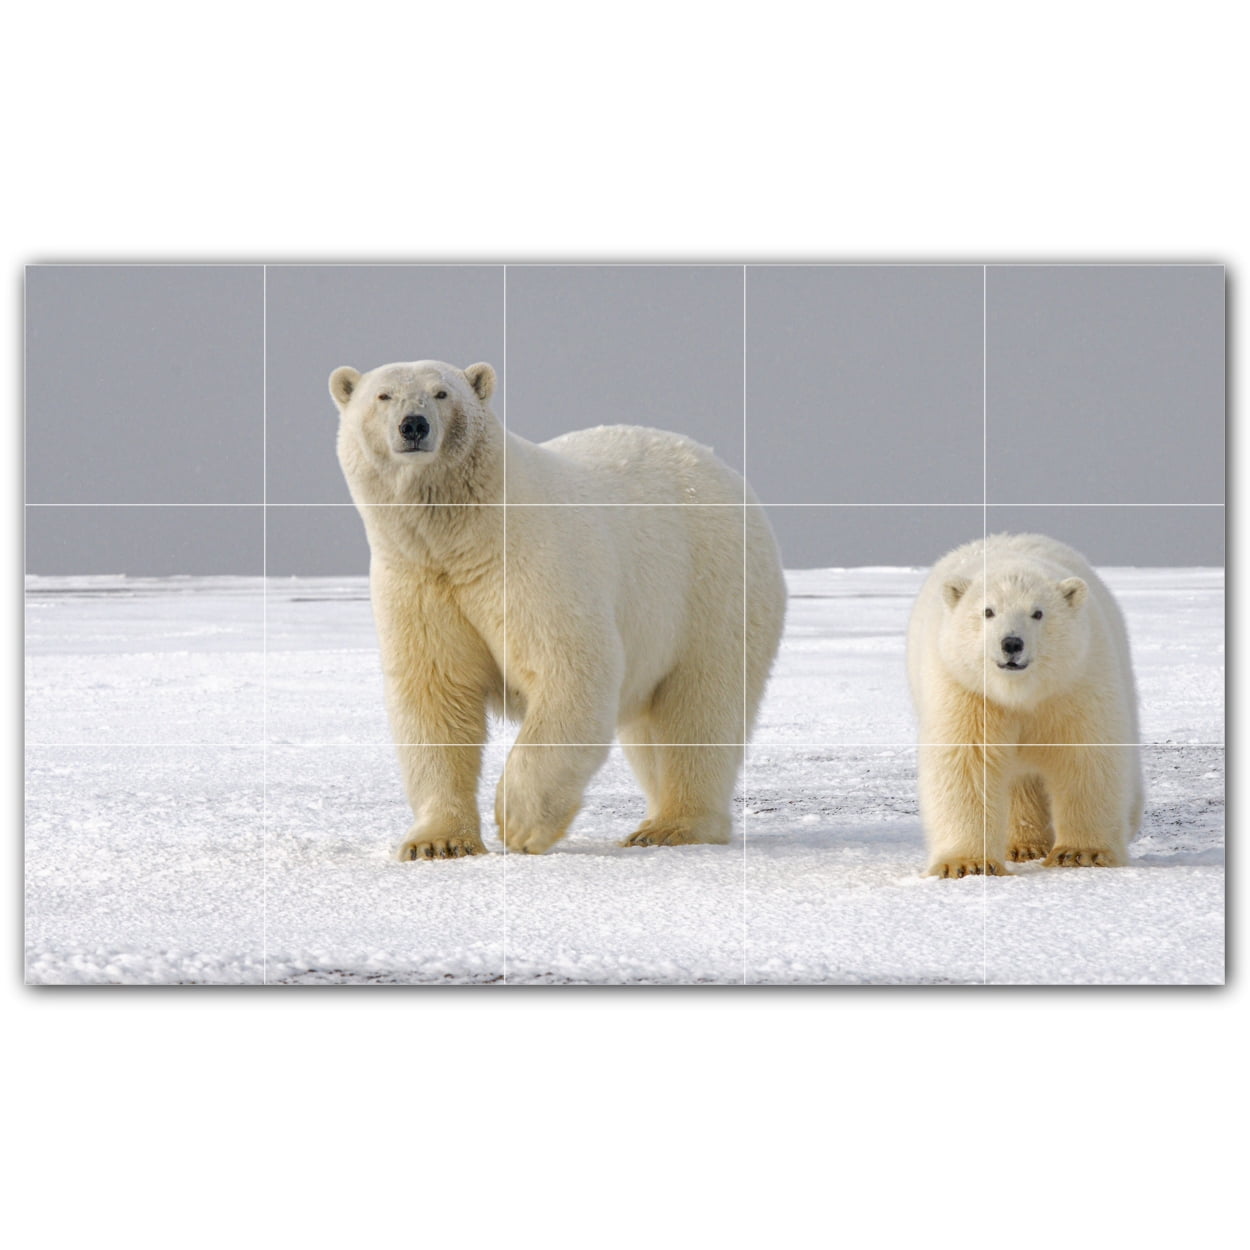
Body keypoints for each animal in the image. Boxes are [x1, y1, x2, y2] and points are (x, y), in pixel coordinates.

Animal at [328, 358, 787, 859]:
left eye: (442, 393)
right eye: (384, 396)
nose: (414, 425)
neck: (465, 535)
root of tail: (722, 468)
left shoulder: (530, 562)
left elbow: (570, 668)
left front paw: (518, 821)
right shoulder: (418, 580)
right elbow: (436, 695)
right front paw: (437, 842)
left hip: (711, 588)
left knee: (700, 708)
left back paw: (672, 826)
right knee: (650, 729)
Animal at [906, 532, 1143, 878]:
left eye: (1038, 613)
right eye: (988, 611)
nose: (1011, 643)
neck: (1020, 693)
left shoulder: (1076, 682)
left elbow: (1086, 755)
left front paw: (1080, 853)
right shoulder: (966, 689)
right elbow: (966, 763)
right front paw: (967, 864)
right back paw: (1023, 845)